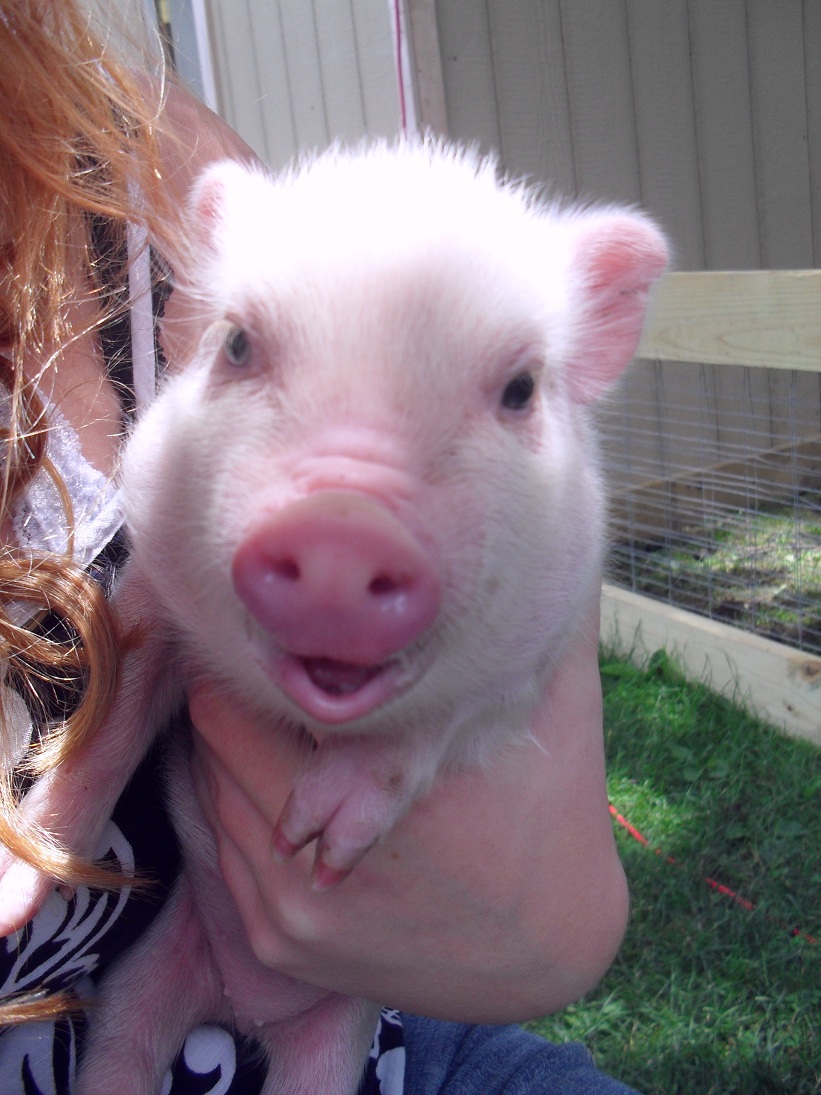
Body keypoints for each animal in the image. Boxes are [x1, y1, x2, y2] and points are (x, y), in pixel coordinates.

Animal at [0, 138, 667, 1093]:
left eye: (519, 389)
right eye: (237, 344)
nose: (343, 530)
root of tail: (240, 1010)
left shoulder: (537, 649)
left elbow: (437, 721)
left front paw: (314, 839)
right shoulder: (155, 597)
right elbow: (109, 729)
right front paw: (14, 904)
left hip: (335, 1034)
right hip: (141, 986)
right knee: (123, 1047)